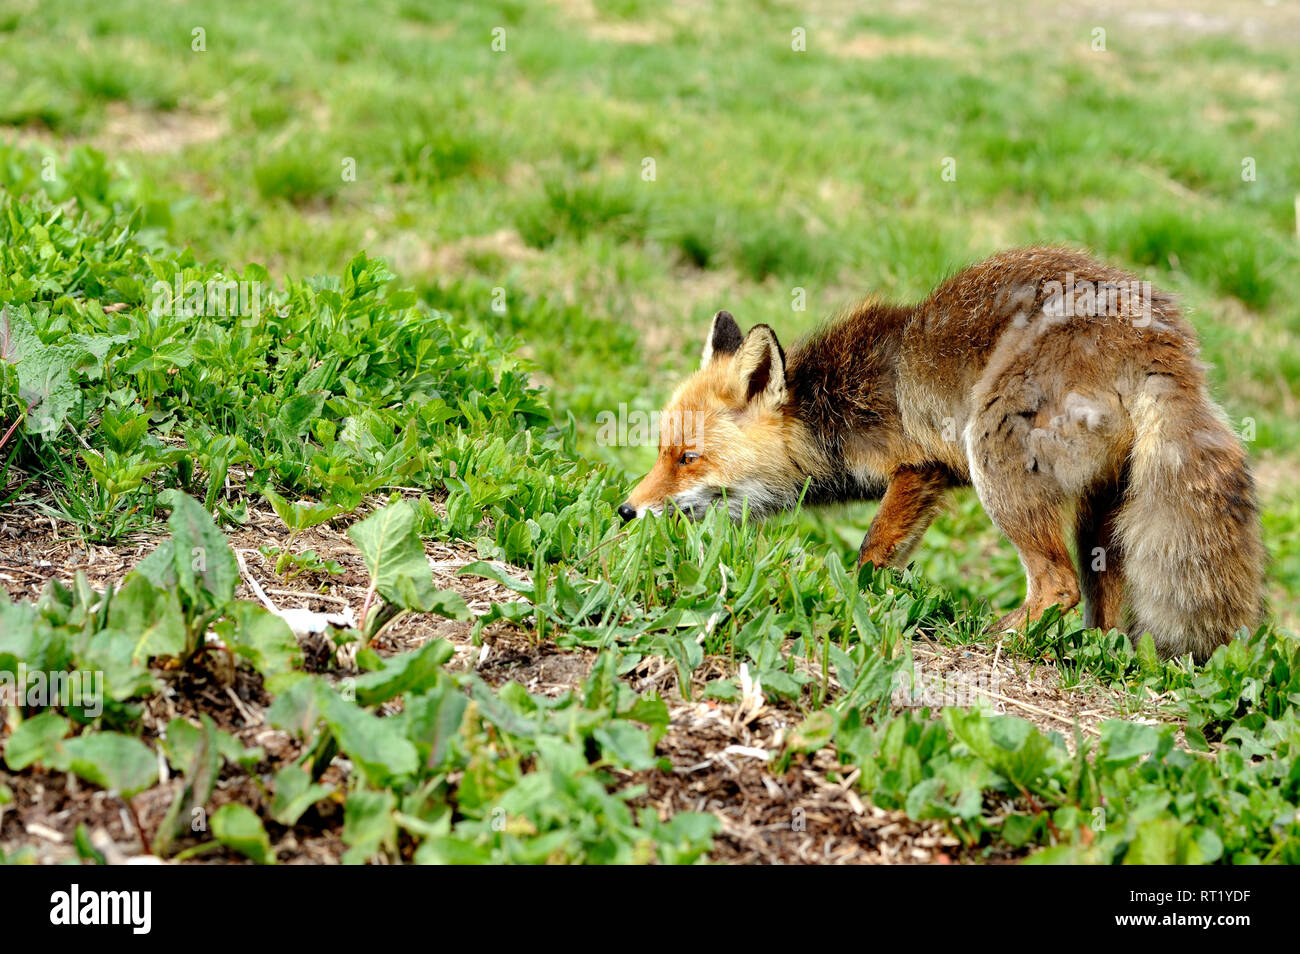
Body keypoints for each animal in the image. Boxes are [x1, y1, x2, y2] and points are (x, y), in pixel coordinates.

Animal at [618, 246, 1265, 662]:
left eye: (688, 458)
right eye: (661, 452)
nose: (625, 510)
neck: (831, 407)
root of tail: (1165, 348)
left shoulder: (918, 469)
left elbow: (871, 552)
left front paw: (858, 601)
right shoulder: (929, 484)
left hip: (996, 465)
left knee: (1057, 586)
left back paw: (992, 639)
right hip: (1098, 509)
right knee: (1101, 616)